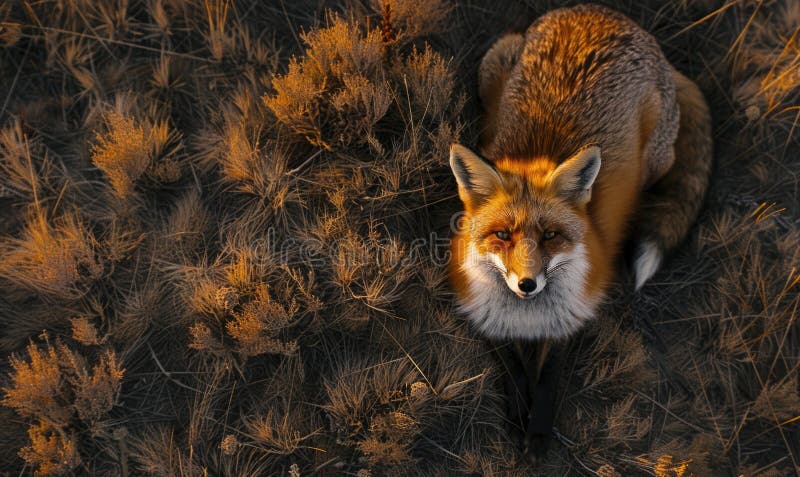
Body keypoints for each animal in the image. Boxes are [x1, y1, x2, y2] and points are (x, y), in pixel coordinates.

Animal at [448, 4, 712, 459]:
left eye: (551, 236)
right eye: (502, 235)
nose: (527, 284)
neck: (528, 314)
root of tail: (607, 15)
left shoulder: (575, 312)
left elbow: (548, 375)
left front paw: (538, 432)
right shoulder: (482, 313)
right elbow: (514, 367)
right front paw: (517, 417)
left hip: (658, 160)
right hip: (492, 65)